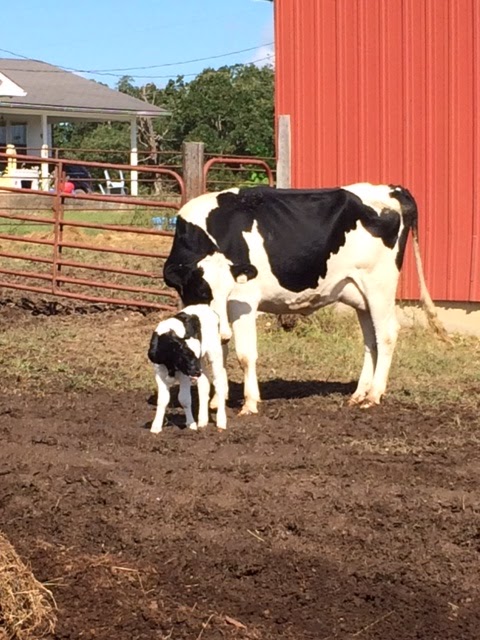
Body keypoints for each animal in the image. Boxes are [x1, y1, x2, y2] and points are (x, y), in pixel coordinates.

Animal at [147, 304, 227, 433]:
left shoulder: (185, 374)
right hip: (202, 362)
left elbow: (184, 399)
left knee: (219, 383)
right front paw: (156, 427)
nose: (197, 372)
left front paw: (191, 424)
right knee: (204, 384)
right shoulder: (159, 373)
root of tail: (205, 306)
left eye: (194, 354)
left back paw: (221, 421)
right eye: (185, 354)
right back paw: (203, 421)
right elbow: (162, 400)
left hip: (214, 352)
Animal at [163, 184, 446, 415]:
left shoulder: (242, 301)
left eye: (229, 287)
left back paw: (373, 395)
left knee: (386, 334)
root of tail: (391, 189)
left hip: (380, 286)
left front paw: (250, 403)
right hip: (361, 295)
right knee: (371, 340)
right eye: (202, 290)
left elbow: (244, 355)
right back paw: (358, 394)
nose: (223, 331)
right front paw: (215, 400)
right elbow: (218, 353)